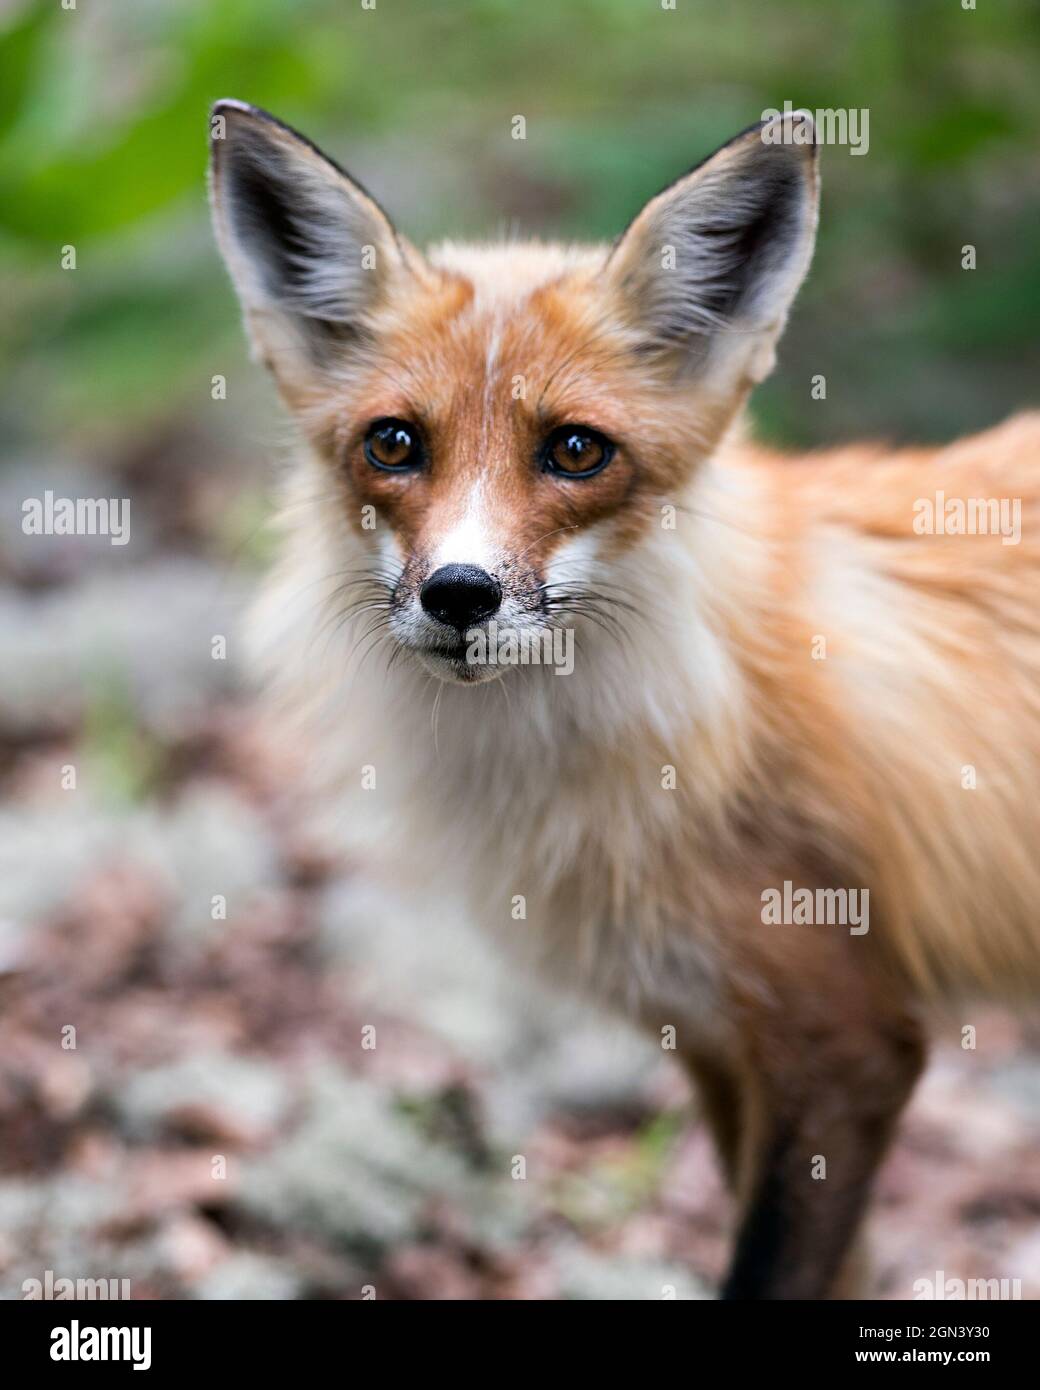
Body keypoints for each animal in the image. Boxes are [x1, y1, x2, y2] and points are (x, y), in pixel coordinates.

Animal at [208, 100, 1040, 1299]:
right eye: (394, 443)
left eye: (574, 450)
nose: (458, 594)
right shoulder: (720, 1041)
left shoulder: (847, 1042)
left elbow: (768, 1270)